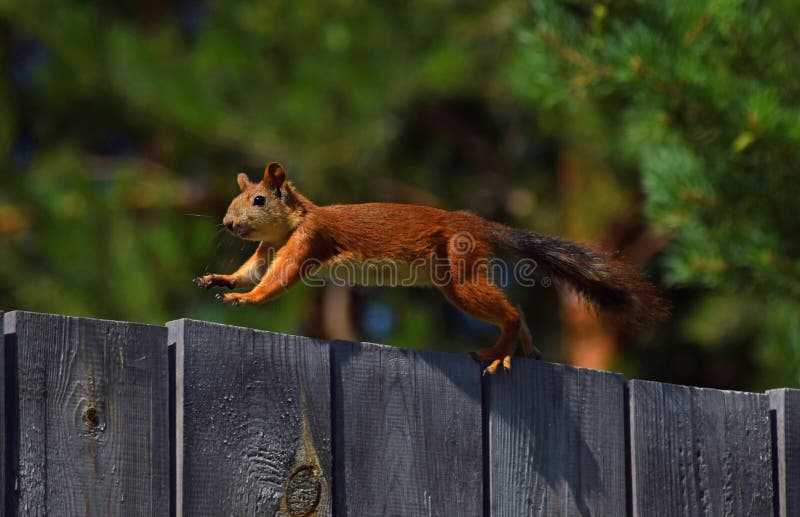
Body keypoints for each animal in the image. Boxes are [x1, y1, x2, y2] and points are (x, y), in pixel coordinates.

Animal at [195, 162, 667, 375]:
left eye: (259, 200)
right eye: (236, 199)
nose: (229, 224)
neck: (292, 222)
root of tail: (478, 225)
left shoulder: (309, 239)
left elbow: (279, 279)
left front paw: (245, 298)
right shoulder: (266, 249)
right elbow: (253, 269)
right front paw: (221, 278)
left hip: (459, 273)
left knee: (508, 312)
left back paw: (501, 351)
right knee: (515, 309)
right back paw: (527, 347)